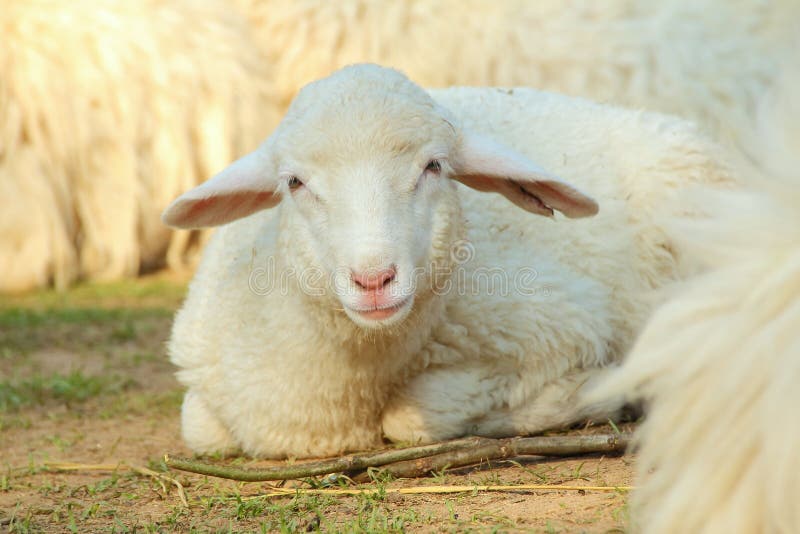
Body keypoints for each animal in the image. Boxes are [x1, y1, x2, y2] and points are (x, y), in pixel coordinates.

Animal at [162, 64, 732, 458]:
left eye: (433, 167)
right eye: (295, 182)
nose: (374, 279)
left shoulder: (562, 322)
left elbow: (412, 418)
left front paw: (591, 393)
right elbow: (200, 428)